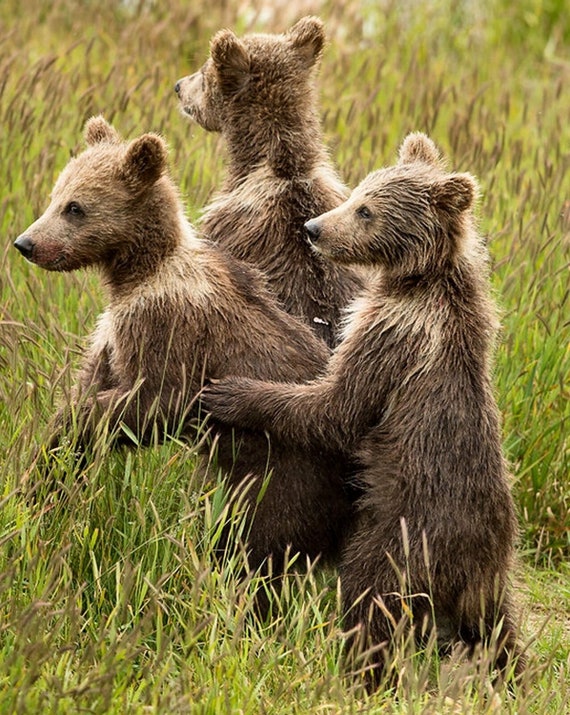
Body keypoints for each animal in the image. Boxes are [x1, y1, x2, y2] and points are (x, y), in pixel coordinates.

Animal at [13, 116, 354, 582]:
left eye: (76, 207)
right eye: (55, 195)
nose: (26, 244)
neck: (137, 274)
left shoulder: (167, 323)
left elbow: (158, 399)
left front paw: (82, 422)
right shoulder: (113, 333)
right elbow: (86, 391)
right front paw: (46, 469)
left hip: (285, 474)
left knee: (255, 544)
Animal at [202, 132, 525, 687]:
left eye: (366, 210)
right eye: (356, 194)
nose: (313, 228)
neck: (420, 279)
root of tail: (473, 556)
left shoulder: (396, 332)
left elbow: (338, 407)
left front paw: (234, 392)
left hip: (402, 532)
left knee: (370, 599)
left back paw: (356, 672)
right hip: (488, 572)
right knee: (498, 630)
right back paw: (517, 677)